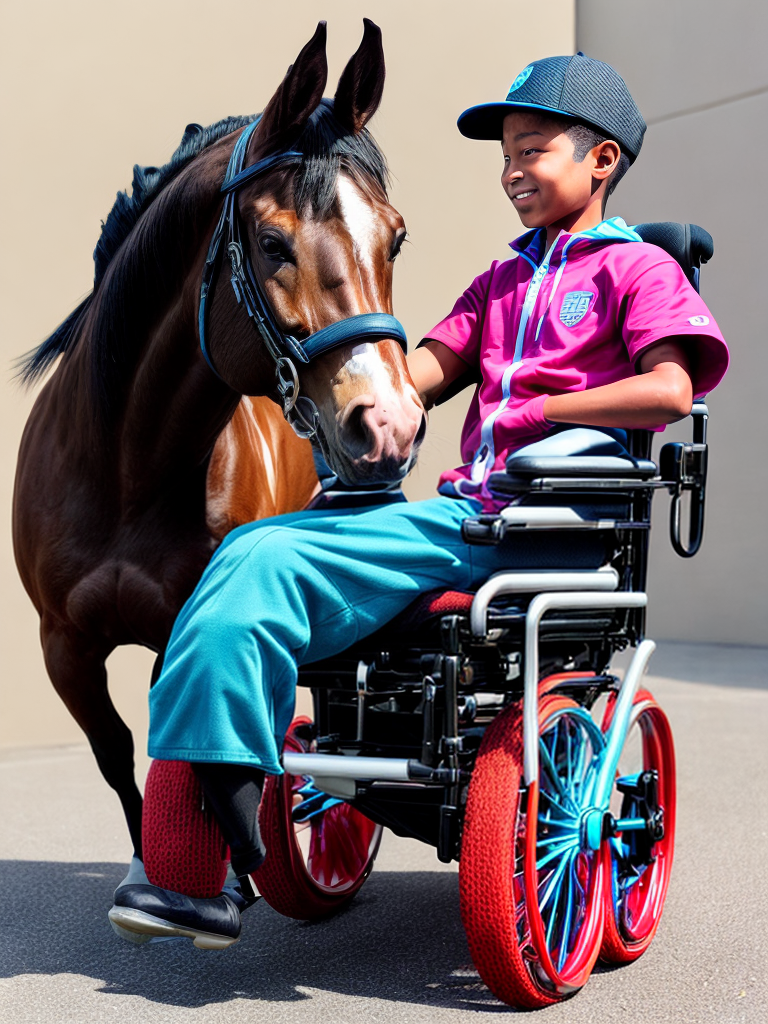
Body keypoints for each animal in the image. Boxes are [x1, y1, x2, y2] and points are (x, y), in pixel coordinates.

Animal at [12, 20, 425, 860]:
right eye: (272, 243)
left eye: (395, 238)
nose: (389, 423)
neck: (125, 471)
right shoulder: (64, 646)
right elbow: (118, 757)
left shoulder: (189, 630)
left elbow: (203, 765)